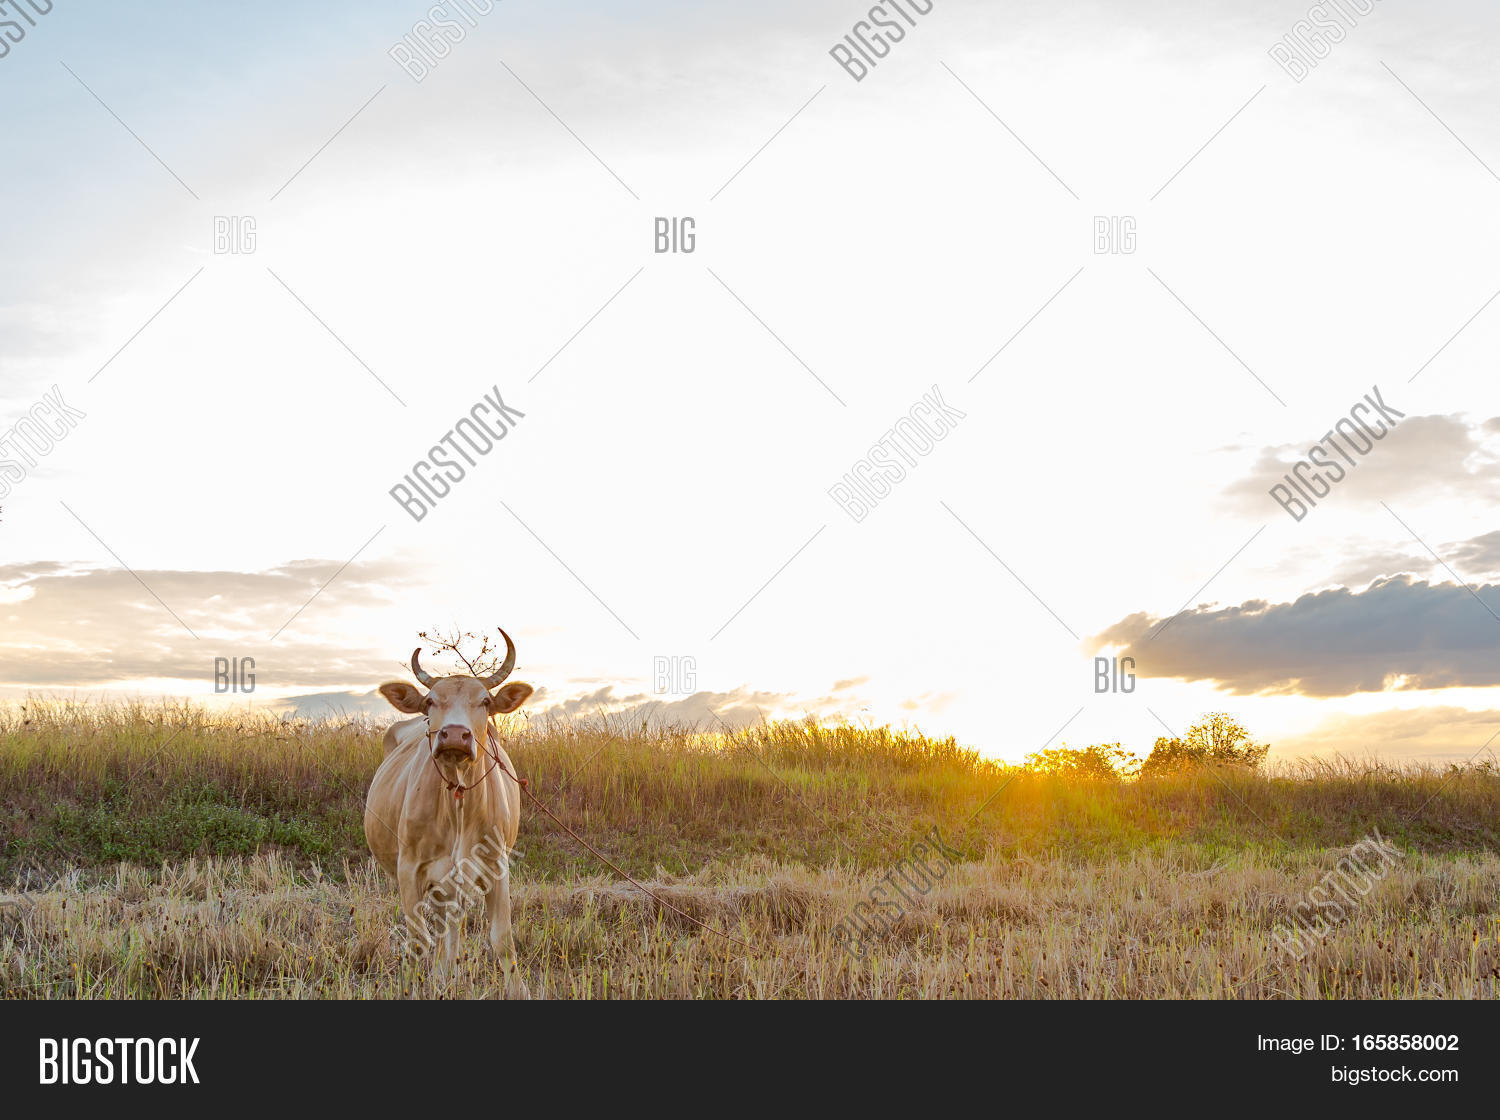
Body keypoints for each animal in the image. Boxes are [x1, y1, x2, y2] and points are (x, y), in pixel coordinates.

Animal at [365, 628, 534, 991]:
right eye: (430, 701)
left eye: (485, 701)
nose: (455, 735)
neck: (458, 804)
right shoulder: (409, 869)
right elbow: (418, 940)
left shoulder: (497, 867)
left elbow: (502, 939)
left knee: (452, 928)